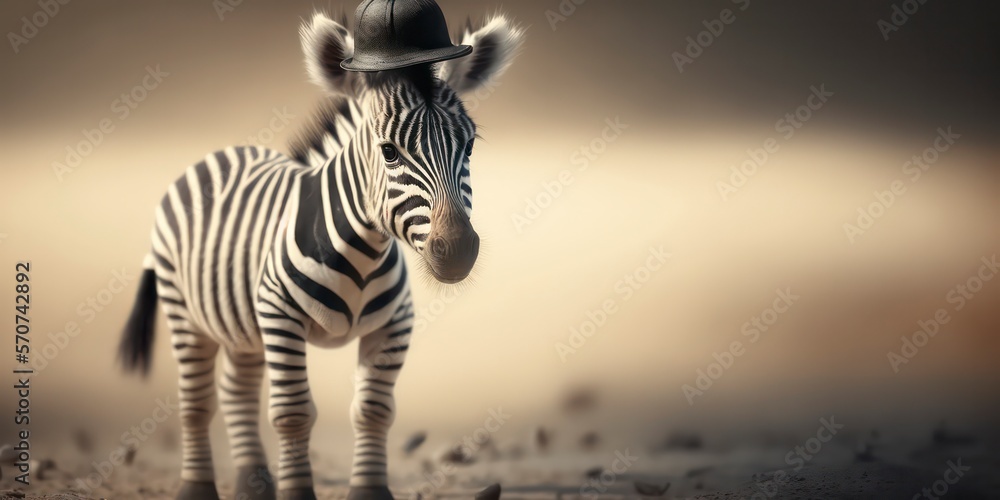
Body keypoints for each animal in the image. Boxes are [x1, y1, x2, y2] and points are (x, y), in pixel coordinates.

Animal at [117, 11, 523, 500]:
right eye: (389, 152)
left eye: (470, 145)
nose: (458, 250)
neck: (363, 251)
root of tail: (223, 152)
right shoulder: (280, 316)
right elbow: (292, 413)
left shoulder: (394, 325)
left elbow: (374, 411)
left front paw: (369, 491)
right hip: (185, 312)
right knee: (197, 403)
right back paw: (197, 488)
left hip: (243, 324)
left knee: (237, 390)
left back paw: (253, 483)